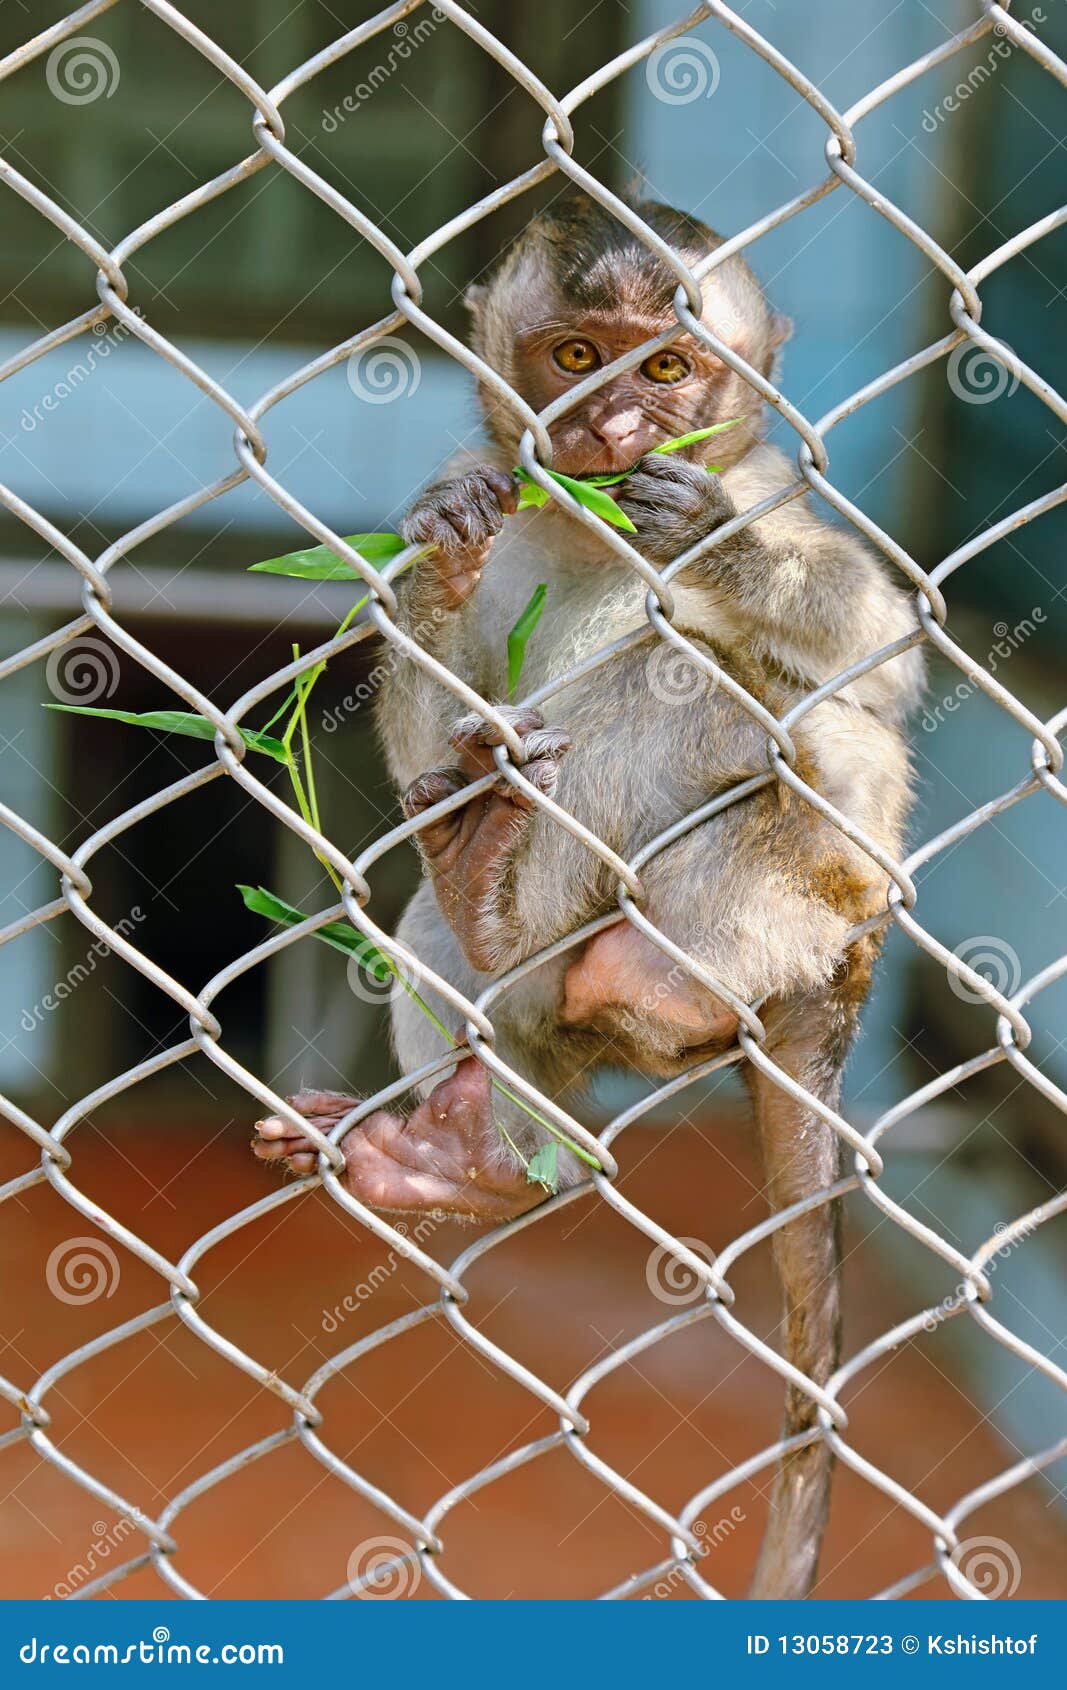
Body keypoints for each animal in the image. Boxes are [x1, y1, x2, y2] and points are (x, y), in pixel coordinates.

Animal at [252, 192, 923, 1597]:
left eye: (663, 369)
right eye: (574, 357)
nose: (611, 432)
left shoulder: (767, 486)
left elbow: (873, 661)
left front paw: (707, 542)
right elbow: (434, 728)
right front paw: (444, 545)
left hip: (780, 909)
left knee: (719, 695)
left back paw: (565, 932)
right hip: (561, 1022)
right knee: (446, 907)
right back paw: (470, 1146)